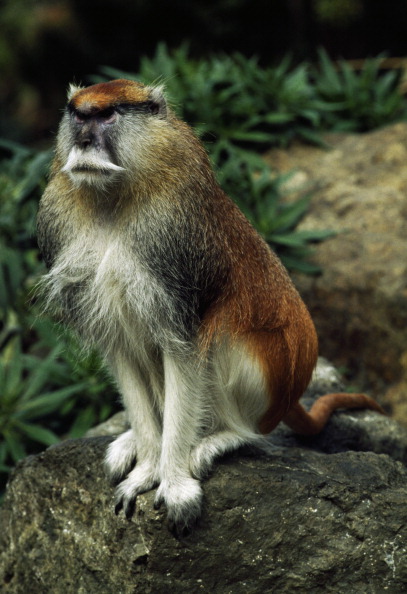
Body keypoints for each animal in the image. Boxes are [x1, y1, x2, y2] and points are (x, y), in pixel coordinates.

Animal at [37, 79, 384, 535]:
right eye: (79, 115)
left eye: (107, 115)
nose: (82, 141)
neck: (114, 199)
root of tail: (289, 396)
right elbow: (122, 350)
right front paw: (147, 465)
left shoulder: (179, 257)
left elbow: (186, 352)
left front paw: (174, 482)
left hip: (268, 367)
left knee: (228, 341)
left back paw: (226, 436)